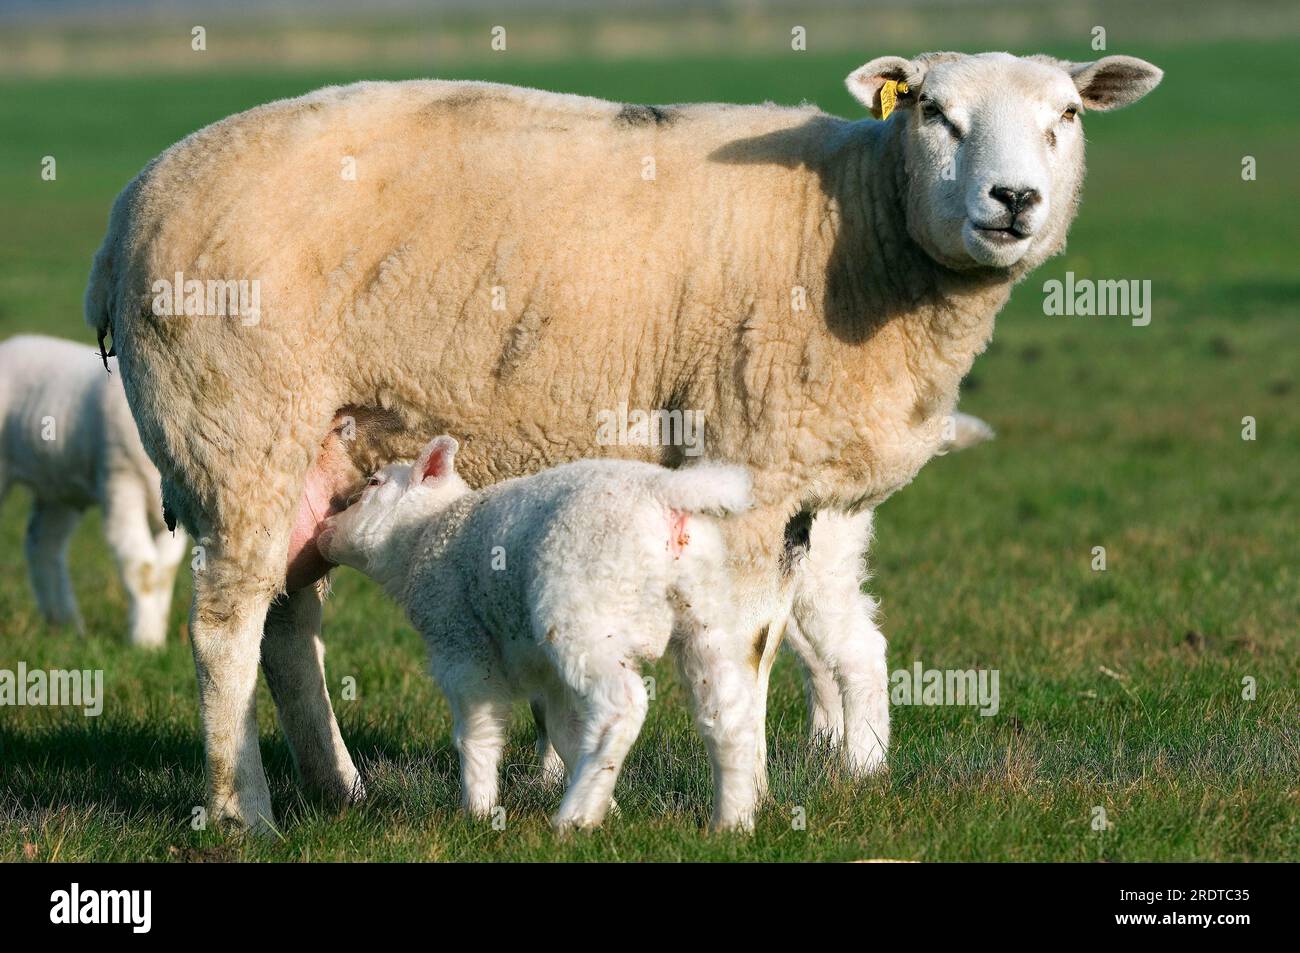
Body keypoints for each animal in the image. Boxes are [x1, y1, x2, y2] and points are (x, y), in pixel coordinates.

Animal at [0, 335, 187, 647]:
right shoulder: (121, 483)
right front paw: (145, 641)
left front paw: (158, 635)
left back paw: (64, 624)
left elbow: (165, 572)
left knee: (43, 544)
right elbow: (143, 567)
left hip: (59, 490)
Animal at [317, 436, 758, 830]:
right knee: (728, 713)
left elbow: (478, 733)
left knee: (622, 706)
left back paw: (575, 818)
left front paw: (477, 813)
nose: (324, 528)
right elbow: (566, 735)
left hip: (582, 609)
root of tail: (665, 491)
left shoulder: (461, 643)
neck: (424, 534)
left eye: (373, 483)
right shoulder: (549, 678)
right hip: (707, 612)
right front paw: (613, 810)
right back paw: (731, 823)